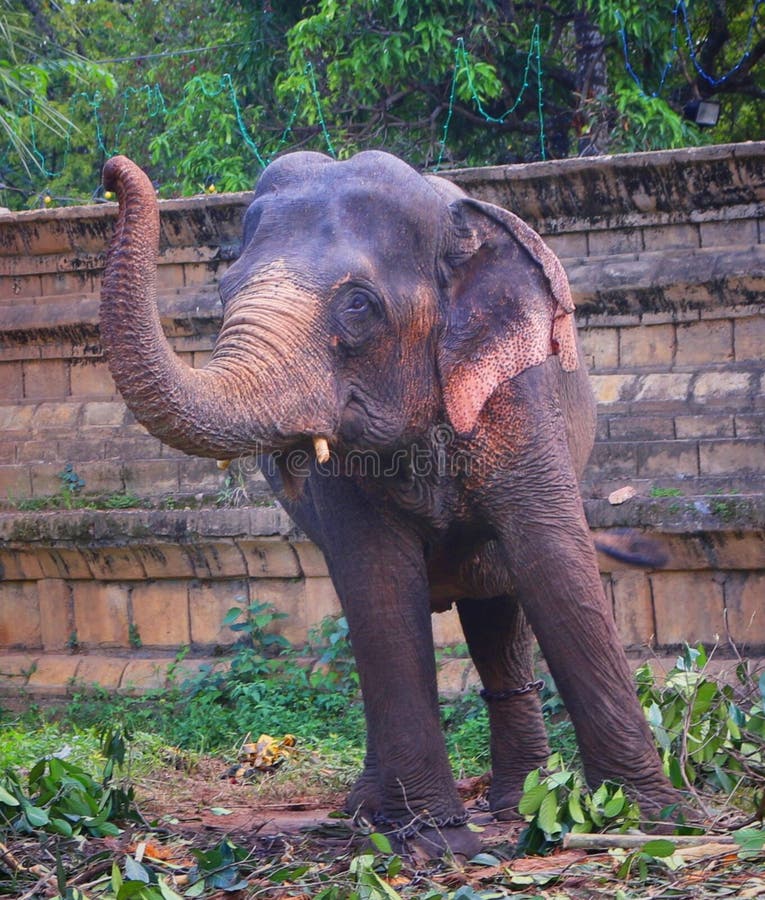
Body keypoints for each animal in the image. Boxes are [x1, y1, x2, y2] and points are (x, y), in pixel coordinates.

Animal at [99, 150, 683, 858]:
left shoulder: (519, 394)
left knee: (498, 604)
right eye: (224, 293)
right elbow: (378, 581)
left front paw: (653, 820)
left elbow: (554, 561)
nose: (112, 170)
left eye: (359, 305)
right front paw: (431, 840)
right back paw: (371, 811)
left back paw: (514, 802)